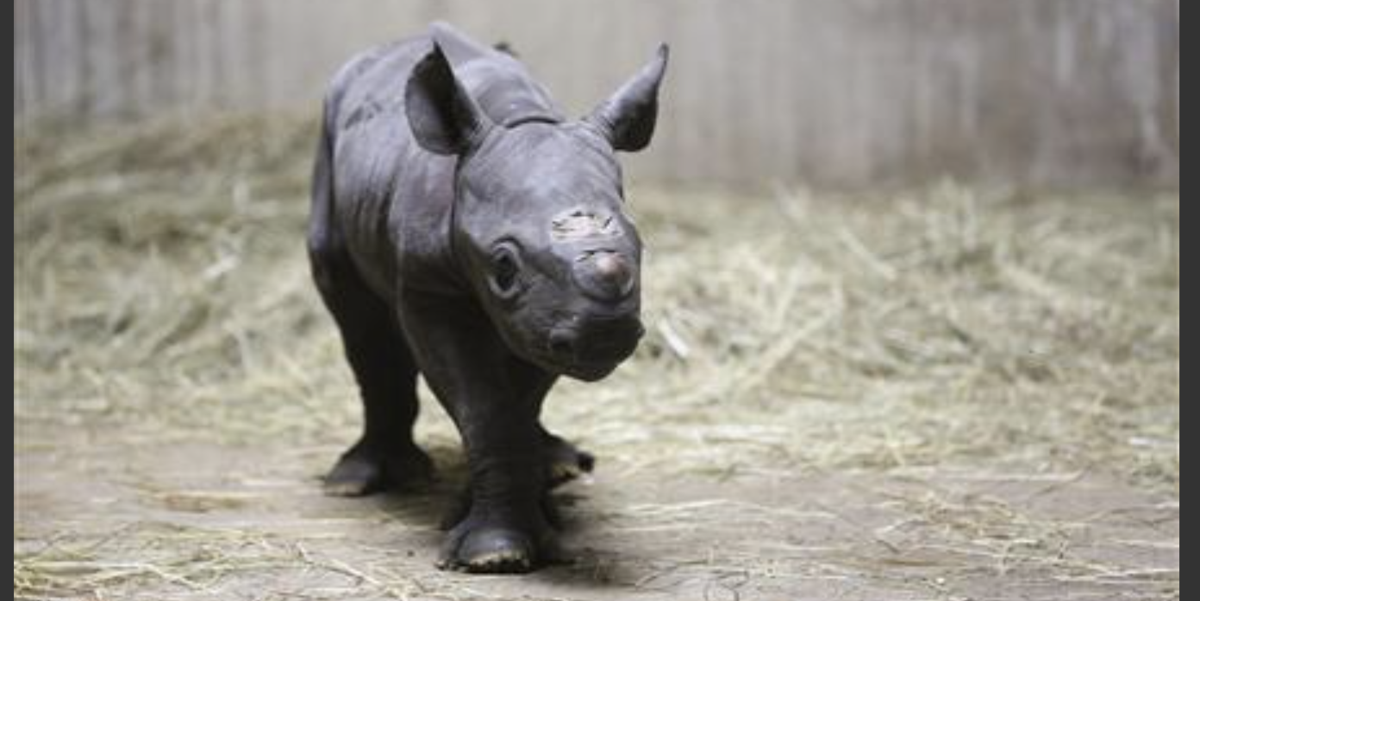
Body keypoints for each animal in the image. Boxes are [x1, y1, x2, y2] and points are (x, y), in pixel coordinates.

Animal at [307, 22, 668, 573]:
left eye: (642, 247)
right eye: (502, 267)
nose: (605, 334)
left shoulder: (545, 318)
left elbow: (516, 401)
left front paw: (516, 516)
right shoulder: (432, 288)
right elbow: (484, 407)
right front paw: (493, 556)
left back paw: (558, 469)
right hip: (328, 140)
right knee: (356, 316)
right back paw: (355, 484)